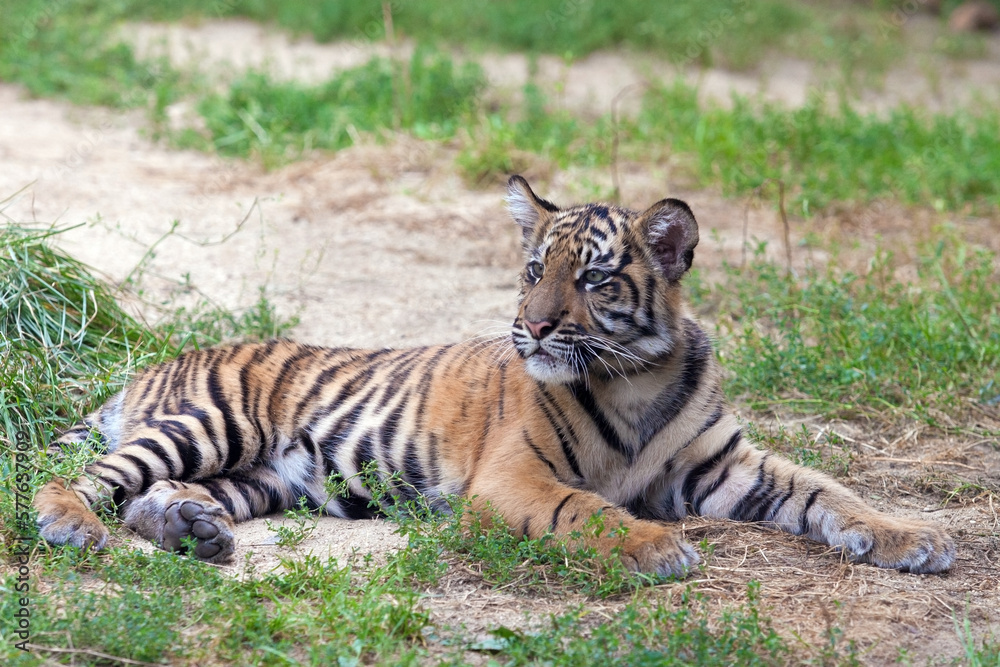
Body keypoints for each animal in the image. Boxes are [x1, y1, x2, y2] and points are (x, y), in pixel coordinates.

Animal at [34, 175, 955, 576]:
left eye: (594, 279)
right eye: (534, 270)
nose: (534, 325)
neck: (636, 378)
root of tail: (154, 364)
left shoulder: (727, 466)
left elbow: (830, 490)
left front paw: (913, 537)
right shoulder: (516, 474)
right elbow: (586, 507)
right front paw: (658, 547)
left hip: (260, 476)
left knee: (150, 496)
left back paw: (192, 530)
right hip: (210, 421)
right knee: (77, 475)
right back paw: (70, 525)